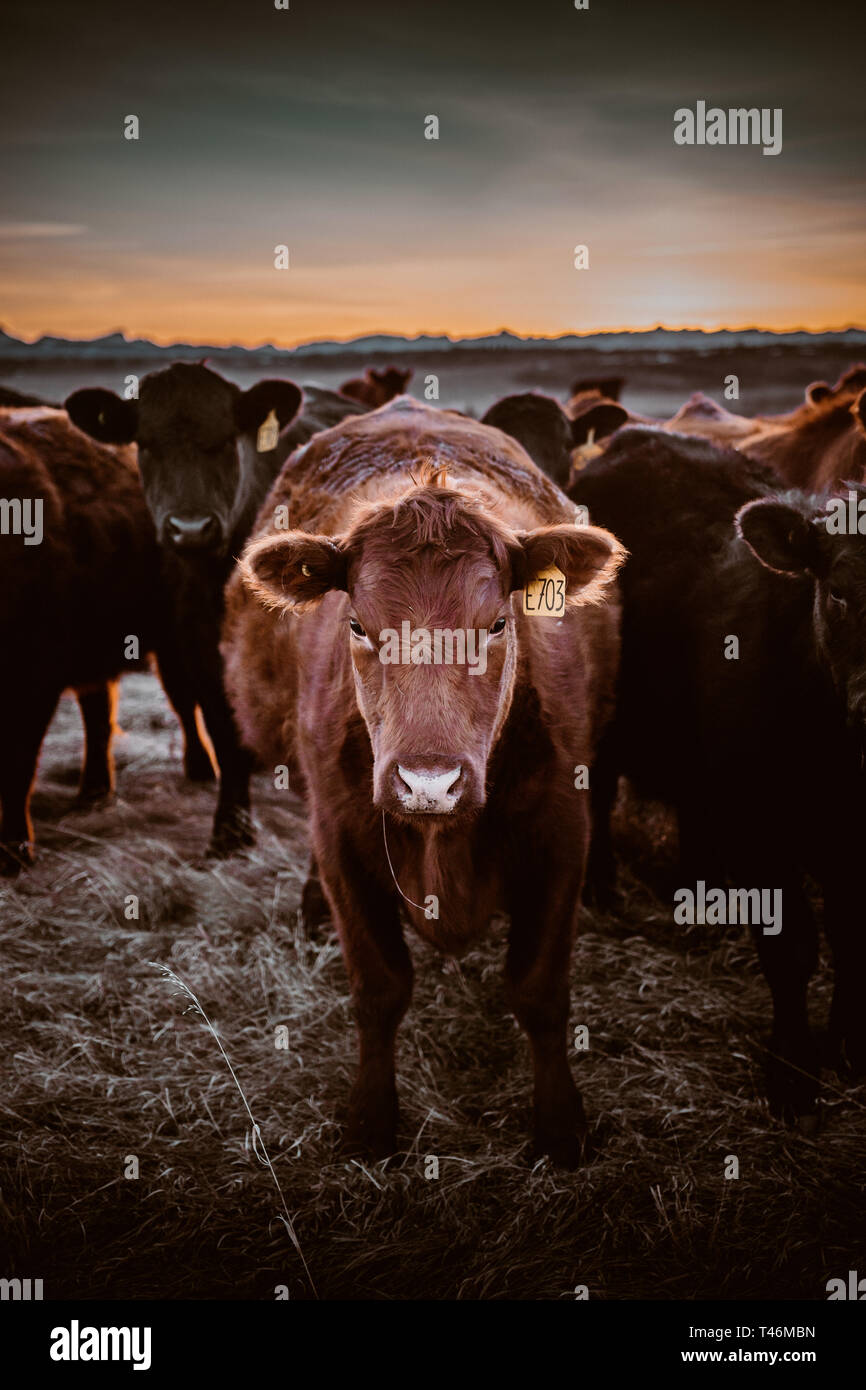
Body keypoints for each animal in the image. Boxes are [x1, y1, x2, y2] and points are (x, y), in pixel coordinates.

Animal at [0, 408, 211, 874]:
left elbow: (18, 764)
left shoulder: (35, 676)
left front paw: (15, 852)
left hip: (174, 638)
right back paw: (95, 791)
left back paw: (201, 768)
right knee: (99, 710)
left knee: (184, 701)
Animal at [65, 363, 305, 855]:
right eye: (146, 444)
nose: (190, 529)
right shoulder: (196, 650)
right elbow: (223, 733)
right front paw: (230, 830)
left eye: (226, 439)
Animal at [222, 397, 624, 1164]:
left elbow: (540, 991)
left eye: (496, 624)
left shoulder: (564, 833)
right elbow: (379, 989)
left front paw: (561, 1126)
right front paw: (370, 1123)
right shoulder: (343, 838)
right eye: (357, 624)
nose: (427, 783)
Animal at [570, 426, 866, 1123]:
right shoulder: (761, 829)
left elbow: (851, 940)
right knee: (597, 796)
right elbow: (792, 947)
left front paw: (849, 1048)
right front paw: (792, 1073)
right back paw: (601, 889)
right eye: (840, 590)